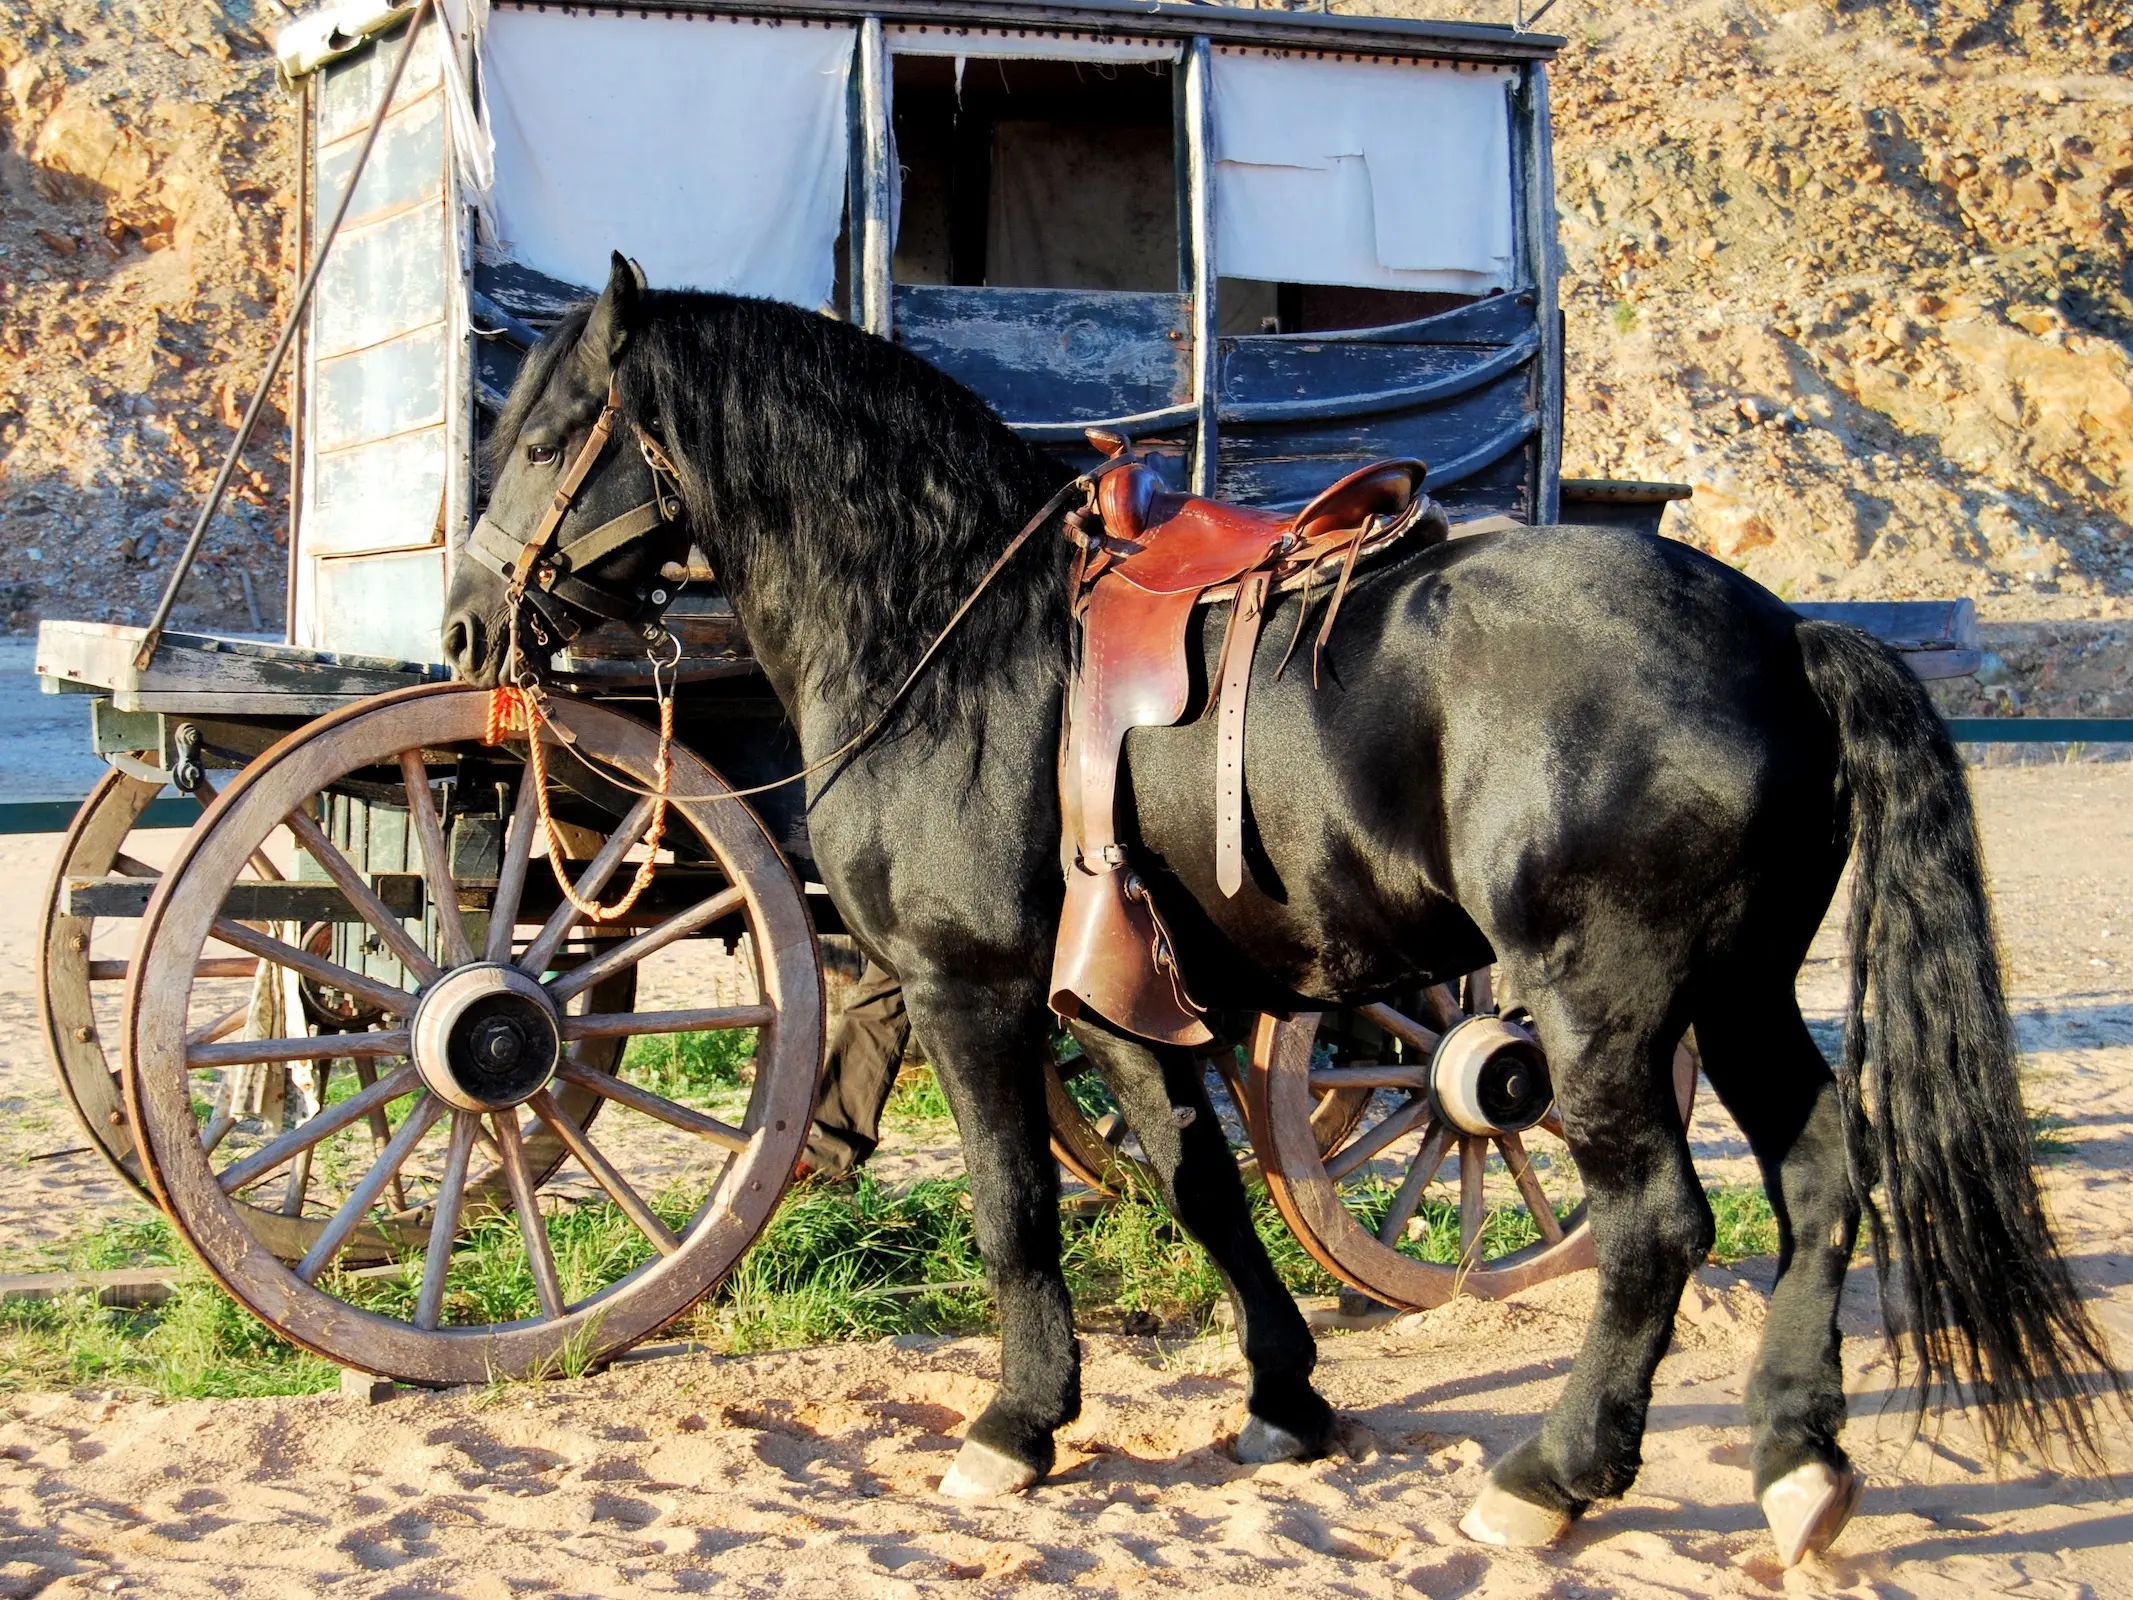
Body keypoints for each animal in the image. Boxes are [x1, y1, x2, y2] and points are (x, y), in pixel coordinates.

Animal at [442, 254, 2118, 1563]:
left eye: (546, 437)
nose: (461, 629)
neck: (953, 638)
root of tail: (1785, 637)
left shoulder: (968, 988)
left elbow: (1013, 1206)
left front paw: (1016, 1425)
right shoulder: (1119, 1000)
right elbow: (1200, 1188)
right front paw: (1285, 1396)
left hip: (1604, 1011)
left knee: (1657, 1223)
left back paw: (1553, 1477)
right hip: (1744, 988)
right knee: (1824, 1178)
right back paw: (1794, 1461)